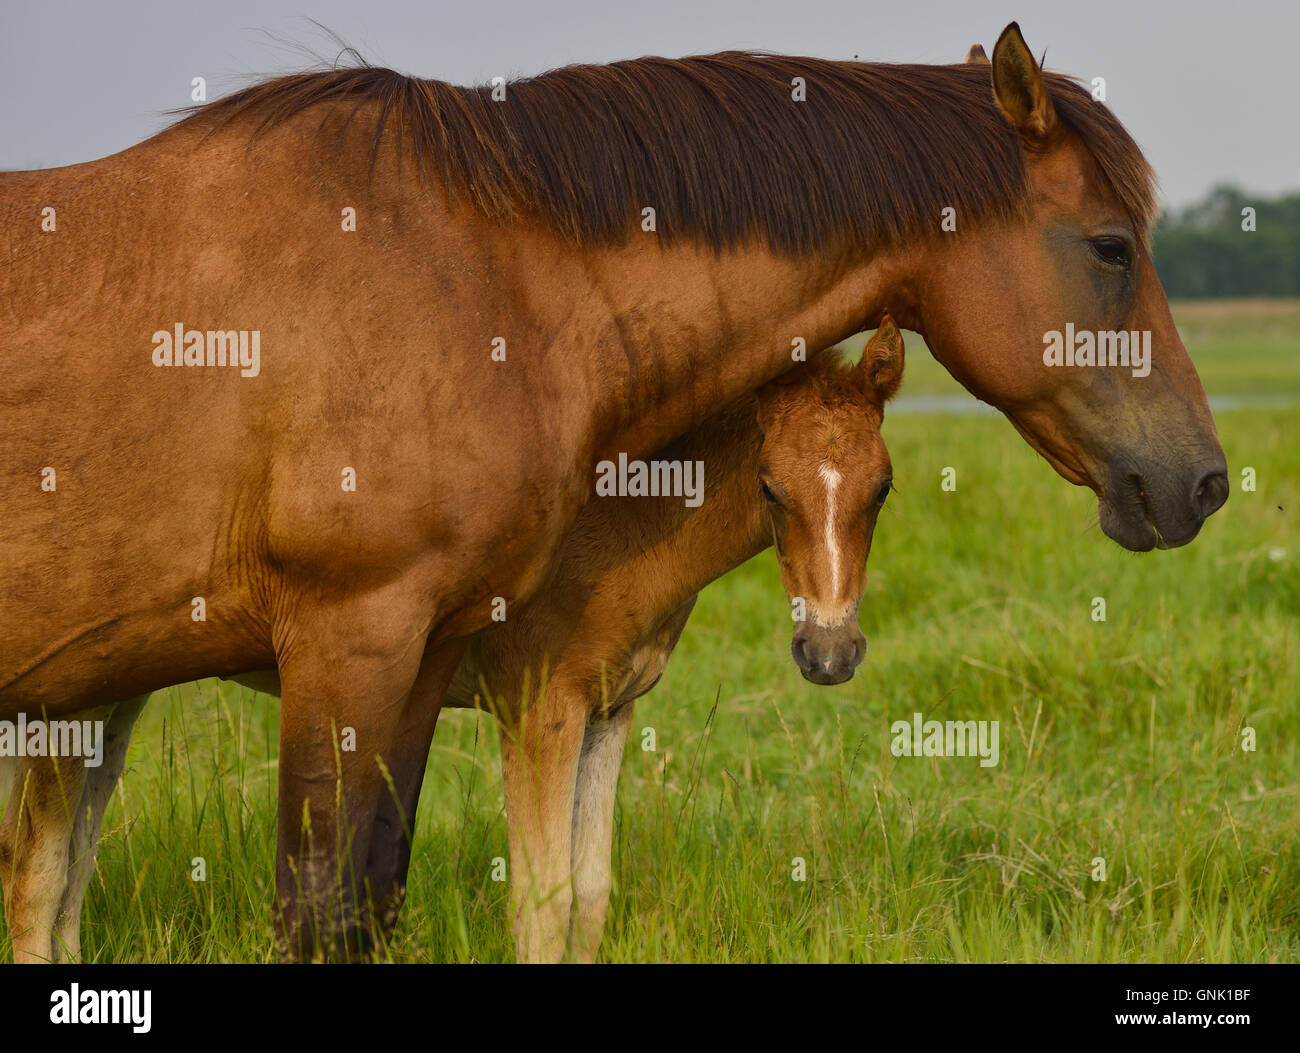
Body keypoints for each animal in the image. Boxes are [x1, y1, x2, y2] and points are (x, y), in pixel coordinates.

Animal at [0, 24, 1227, 959]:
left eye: (883, 492)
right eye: (1111, 247)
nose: (1203, 480)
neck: (481, 280)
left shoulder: (452, 665)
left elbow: (429, 900)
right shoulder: (373, 653)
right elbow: (350, 913)